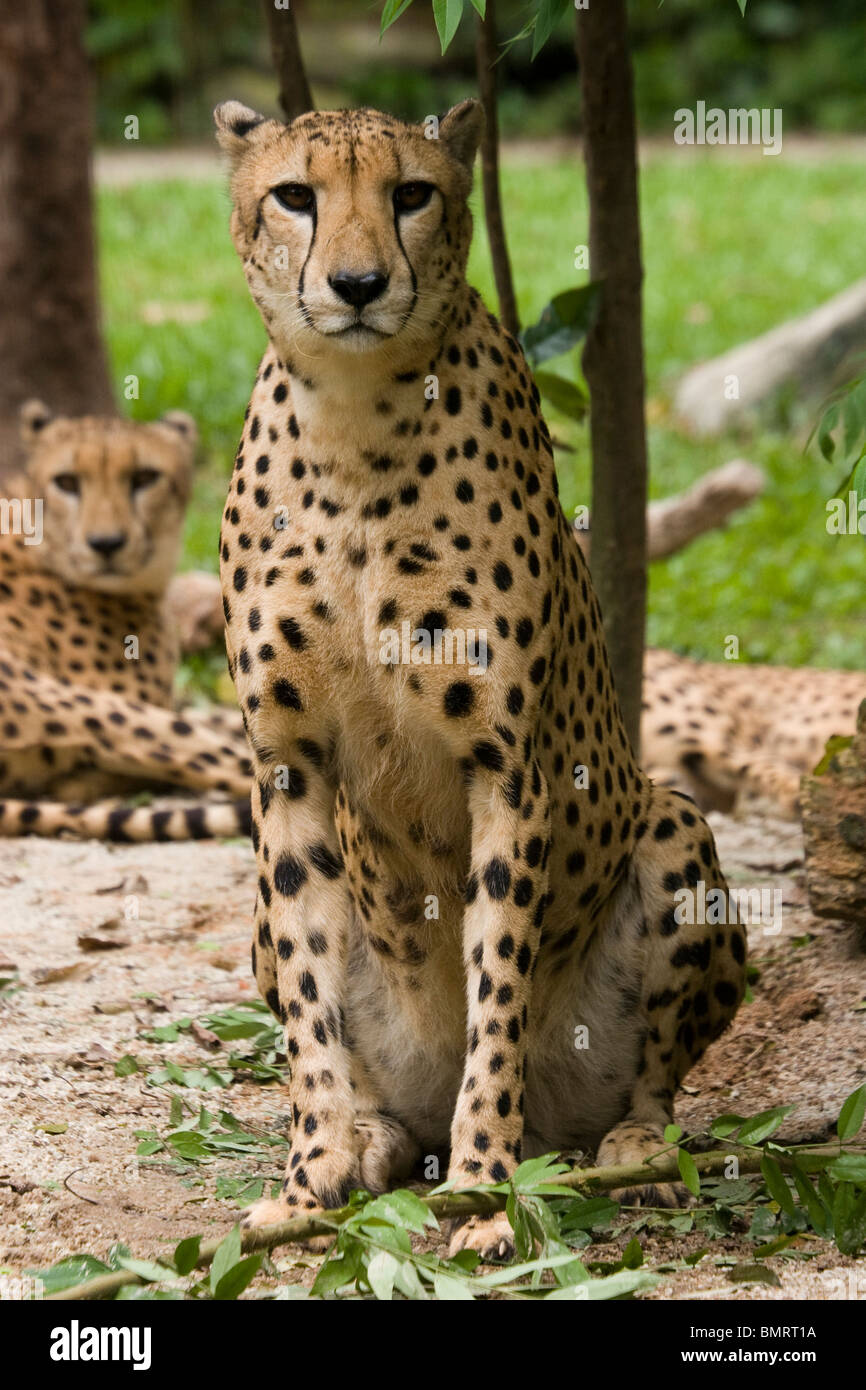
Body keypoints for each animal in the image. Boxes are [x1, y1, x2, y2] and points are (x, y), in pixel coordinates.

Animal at [214, 97, 747, 1257]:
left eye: (412, 193)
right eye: (295, 194)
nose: (358, 284)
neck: (355, 428)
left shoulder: (508, 769)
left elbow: (495, 985)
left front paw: (486, 1194)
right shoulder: (287, 769)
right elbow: (312, 1003)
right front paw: (309, 1178)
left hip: (672, 827)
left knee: (649, 1084)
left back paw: (626, 1153)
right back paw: (373, 1141)